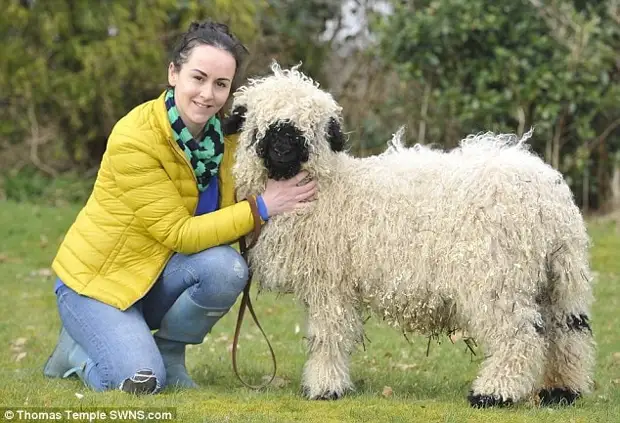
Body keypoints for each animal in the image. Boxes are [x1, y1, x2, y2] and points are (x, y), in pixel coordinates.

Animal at [226, 63, 596, 408]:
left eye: (309, 126)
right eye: (261, 124)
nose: (282, 149)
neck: (329, 187)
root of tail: (550, 200)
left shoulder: (330, 282)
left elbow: (328, 336)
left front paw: (324, 387)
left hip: (498, 276)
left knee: (520, 336)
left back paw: (494, 392)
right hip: (558, 277)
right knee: (567, 332)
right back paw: (562, 391)